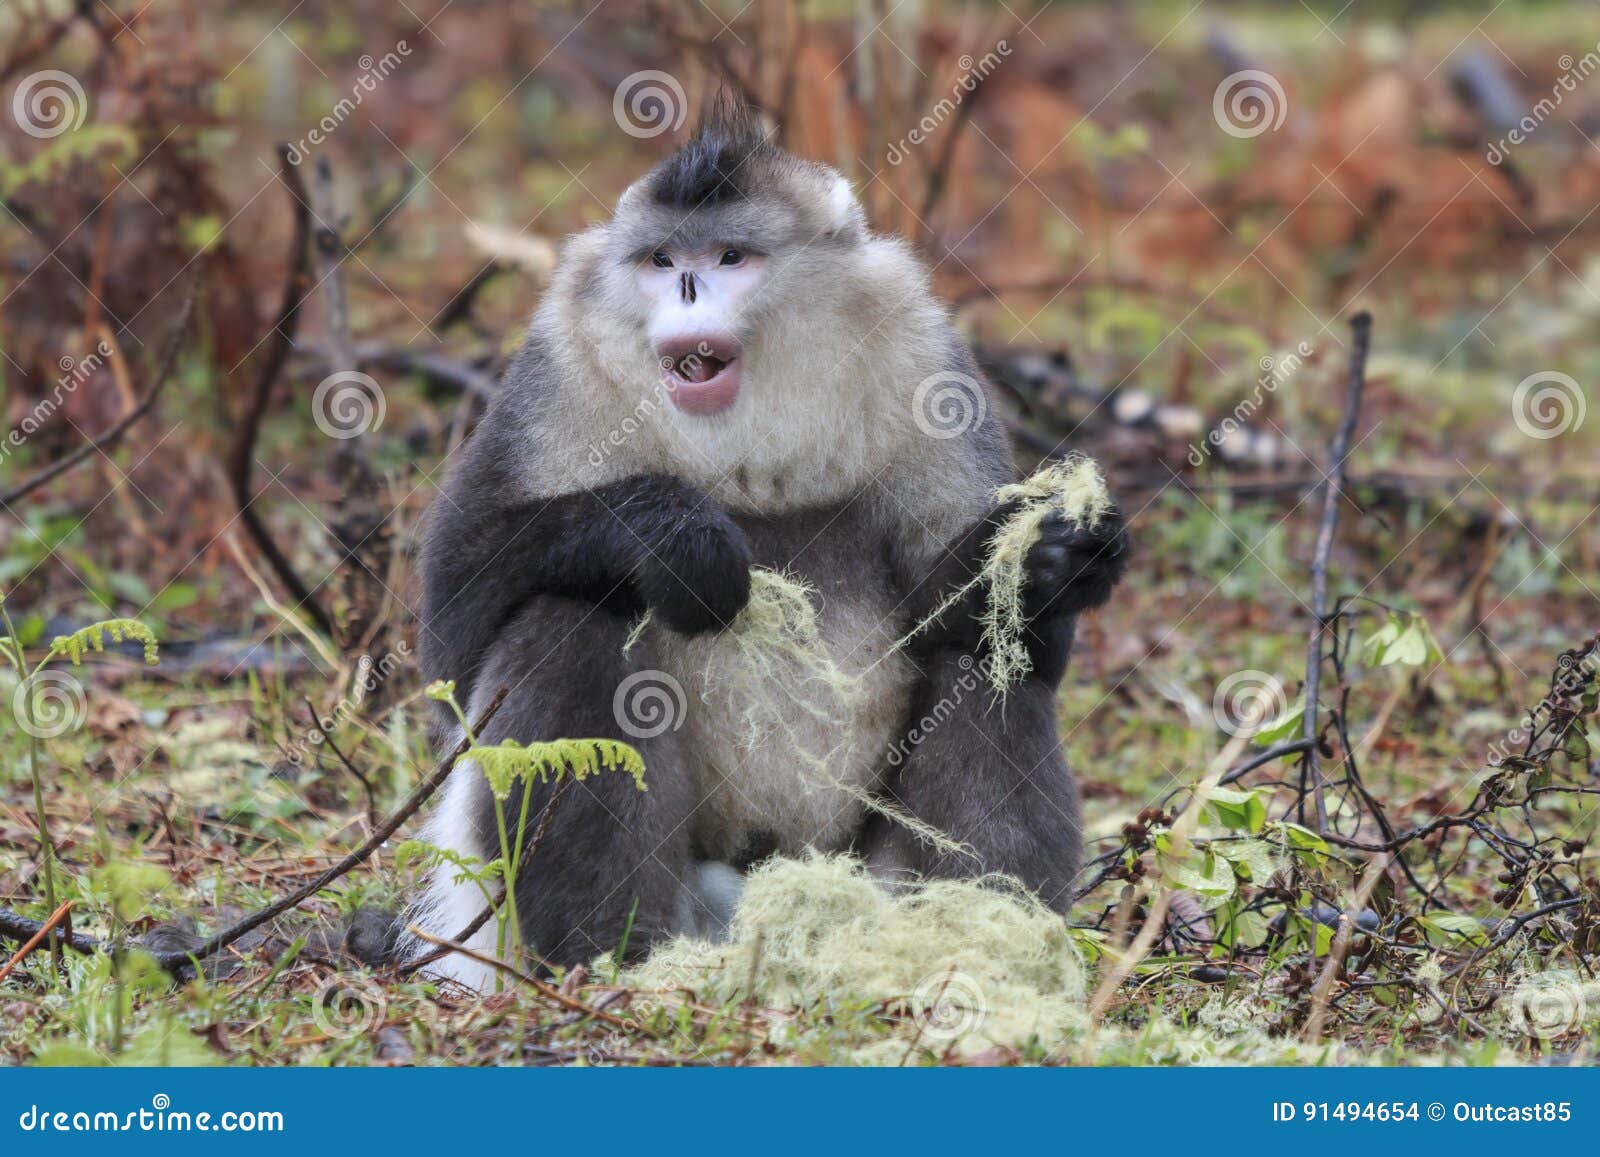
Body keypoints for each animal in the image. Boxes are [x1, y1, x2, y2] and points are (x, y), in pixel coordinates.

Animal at [403, 100, 1127, 989]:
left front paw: (1049, 561)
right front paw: (666, 534)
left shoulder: (926, 355)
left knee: (984, 661)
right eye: (662, 259)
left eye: (729, 257)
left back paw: (977, 951)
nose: (687, 287)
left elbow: (973, 627)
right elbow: (451, 641)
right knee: (568, 617)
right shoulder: (557, 368)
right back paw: (612, 962)